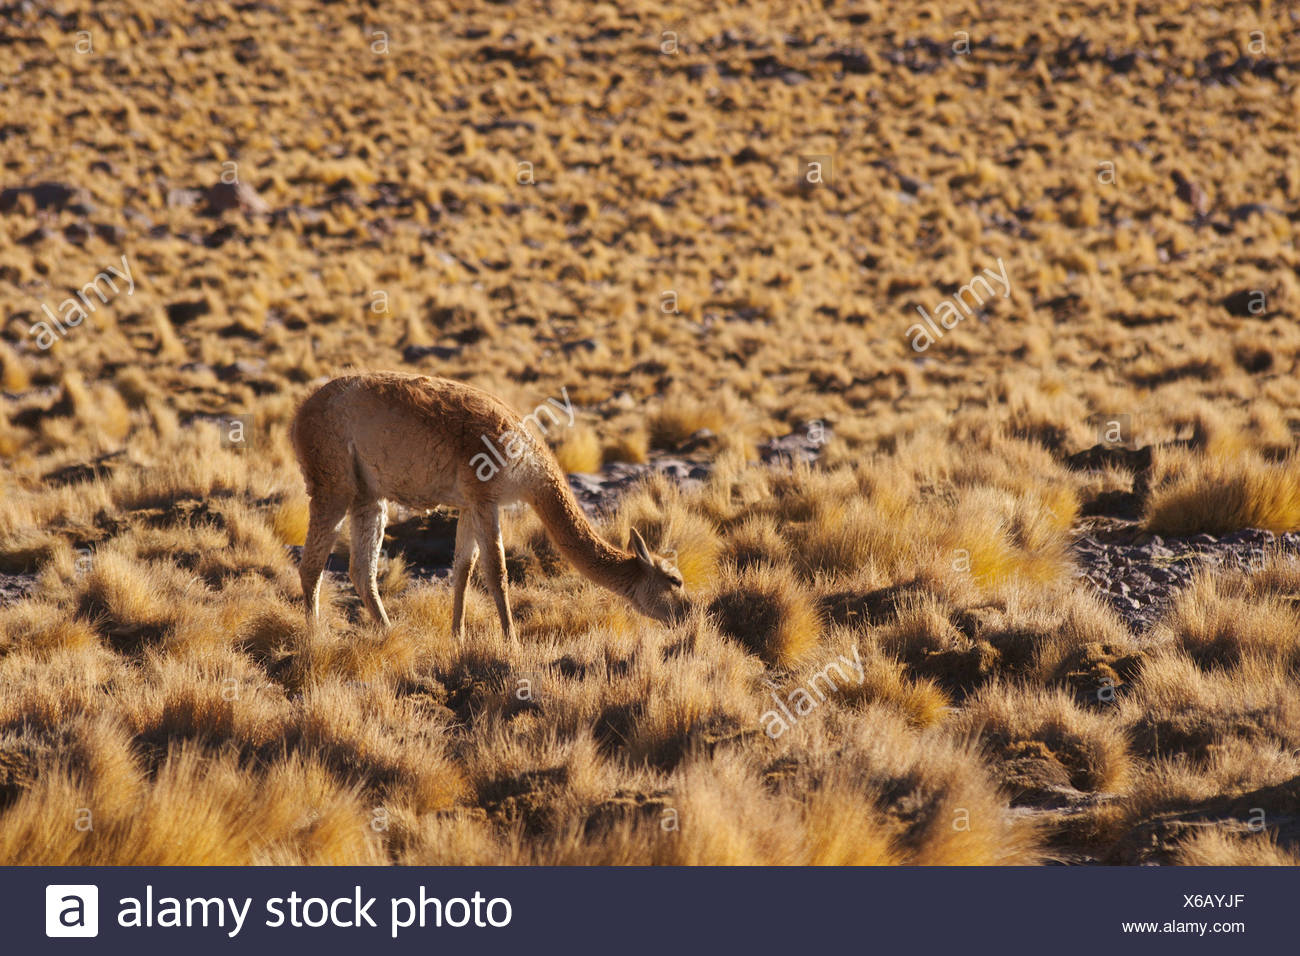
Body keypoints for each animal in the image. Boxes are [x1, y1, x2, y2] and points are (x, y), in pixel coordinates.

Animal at [289, 372, 688, 639]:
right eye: (675, 580)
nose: (687, 614)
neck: (528, 466)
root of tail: (300, 410)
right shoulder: (485, 496)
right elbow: (498, 572)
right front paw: (512, 641)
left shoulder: (470, 503)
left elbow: (464, 569)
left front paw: (458, 636)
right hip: (332, 478)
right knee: (312, 565)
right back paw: (315, 637)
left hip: (368, 495)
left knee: (361, 570)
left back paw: (390, 632)